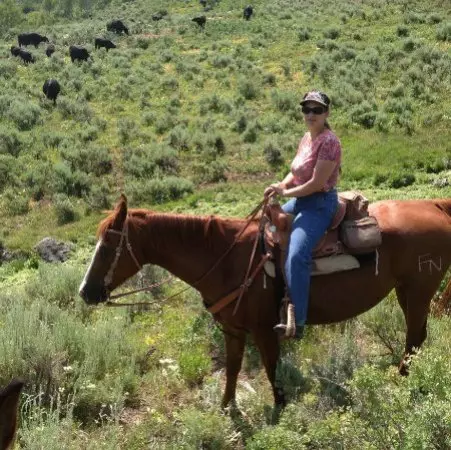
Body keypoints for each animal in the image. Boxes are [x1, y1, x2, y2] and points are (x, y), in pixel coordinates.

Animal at [79, 195, 450, 406]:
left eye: (109, 245)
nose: (85, 292)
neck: (225, 258)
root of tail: (433, 205)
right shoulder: (232, 329)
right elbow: (232, 368)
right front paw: (226, 407)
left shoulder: (264, 330)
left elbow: (272, 371)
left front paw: (280, 408)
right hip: (407, 290)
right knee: (419, 336)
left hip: (418, 289)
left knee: (413, 338)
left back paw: (401, 383)